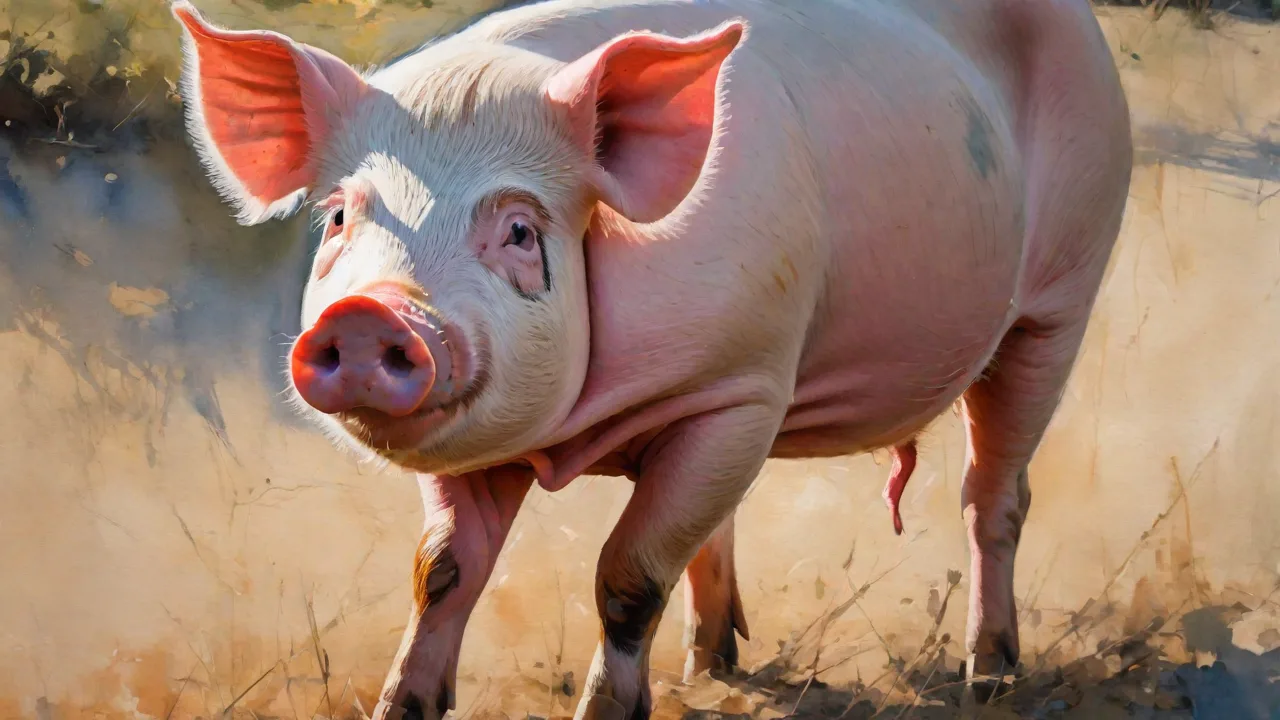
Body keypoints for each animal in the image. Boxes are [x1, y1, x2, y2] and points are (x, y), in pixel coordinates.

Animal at [170, 0, 1132, 717]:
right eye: (341, 216)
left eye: (519, 230)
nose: (371, 315)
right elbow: (440, 571)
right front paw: (399, 708)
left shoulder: (740, 388)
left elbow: (627, 576)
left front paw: (607, 710)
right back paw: (714, 667)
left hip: (1066, 290)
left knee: (993, 493)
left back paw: (991, 675)